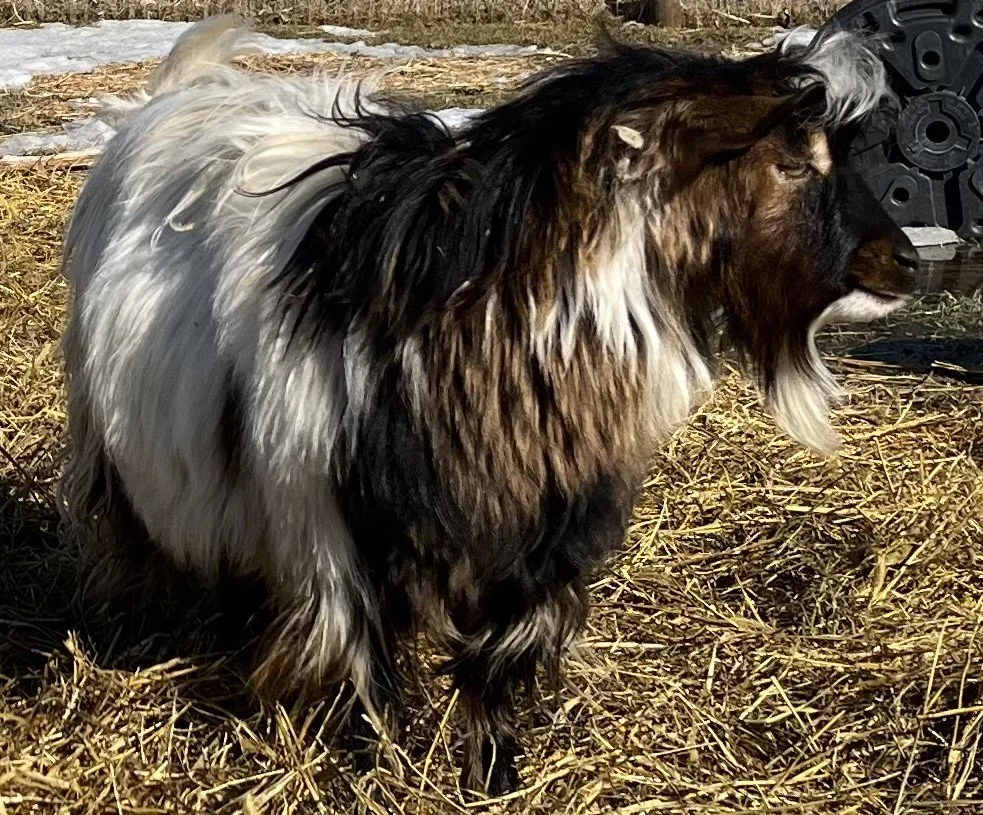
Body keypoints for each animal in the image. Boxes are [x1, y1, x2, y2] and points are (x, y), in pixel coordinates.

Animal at [58, 16, 919, 794]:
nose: (904, 259)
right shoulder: (343, 540)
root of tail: (181, 92)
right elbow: (370, 677)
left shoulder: (543, 535)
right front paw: (385, 775)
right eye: (791, 159)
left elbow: (496, 663)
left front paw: (495, 777)